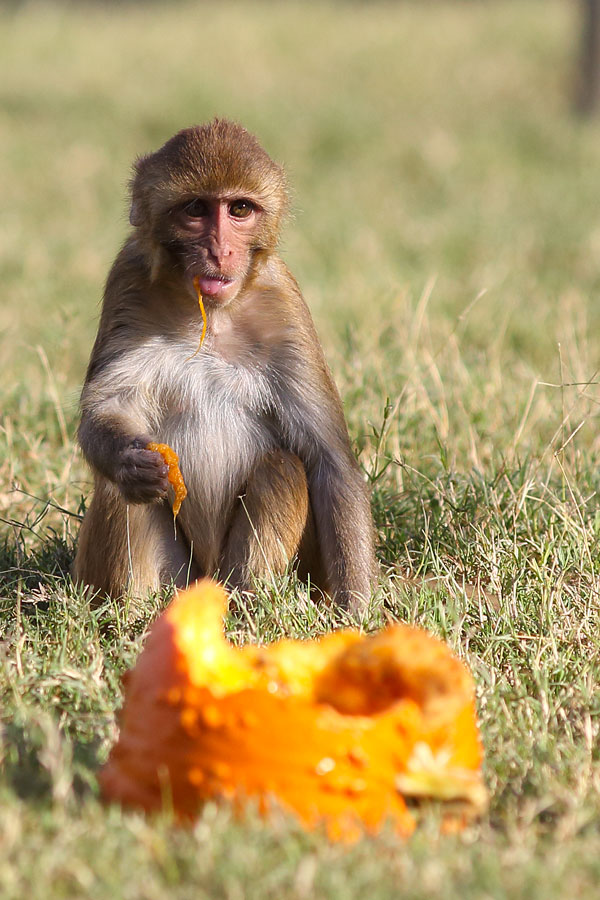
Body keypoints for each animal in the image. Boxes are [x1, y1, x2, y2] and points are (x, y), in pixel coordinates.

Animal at [73, 119, 376, 613]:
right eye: (196, 209)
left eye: (239, 209)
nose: (220, 252)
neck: (210, 316)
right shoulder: (127, 281)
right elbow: (107, 411)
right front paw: (129, 462)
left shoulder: (285, 301)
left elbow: (329, 463)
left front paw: (357, 610)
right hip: (178, 577)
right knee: (123, 493)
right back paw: (133, 611)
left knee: (281, 467)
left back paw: (246, 601)